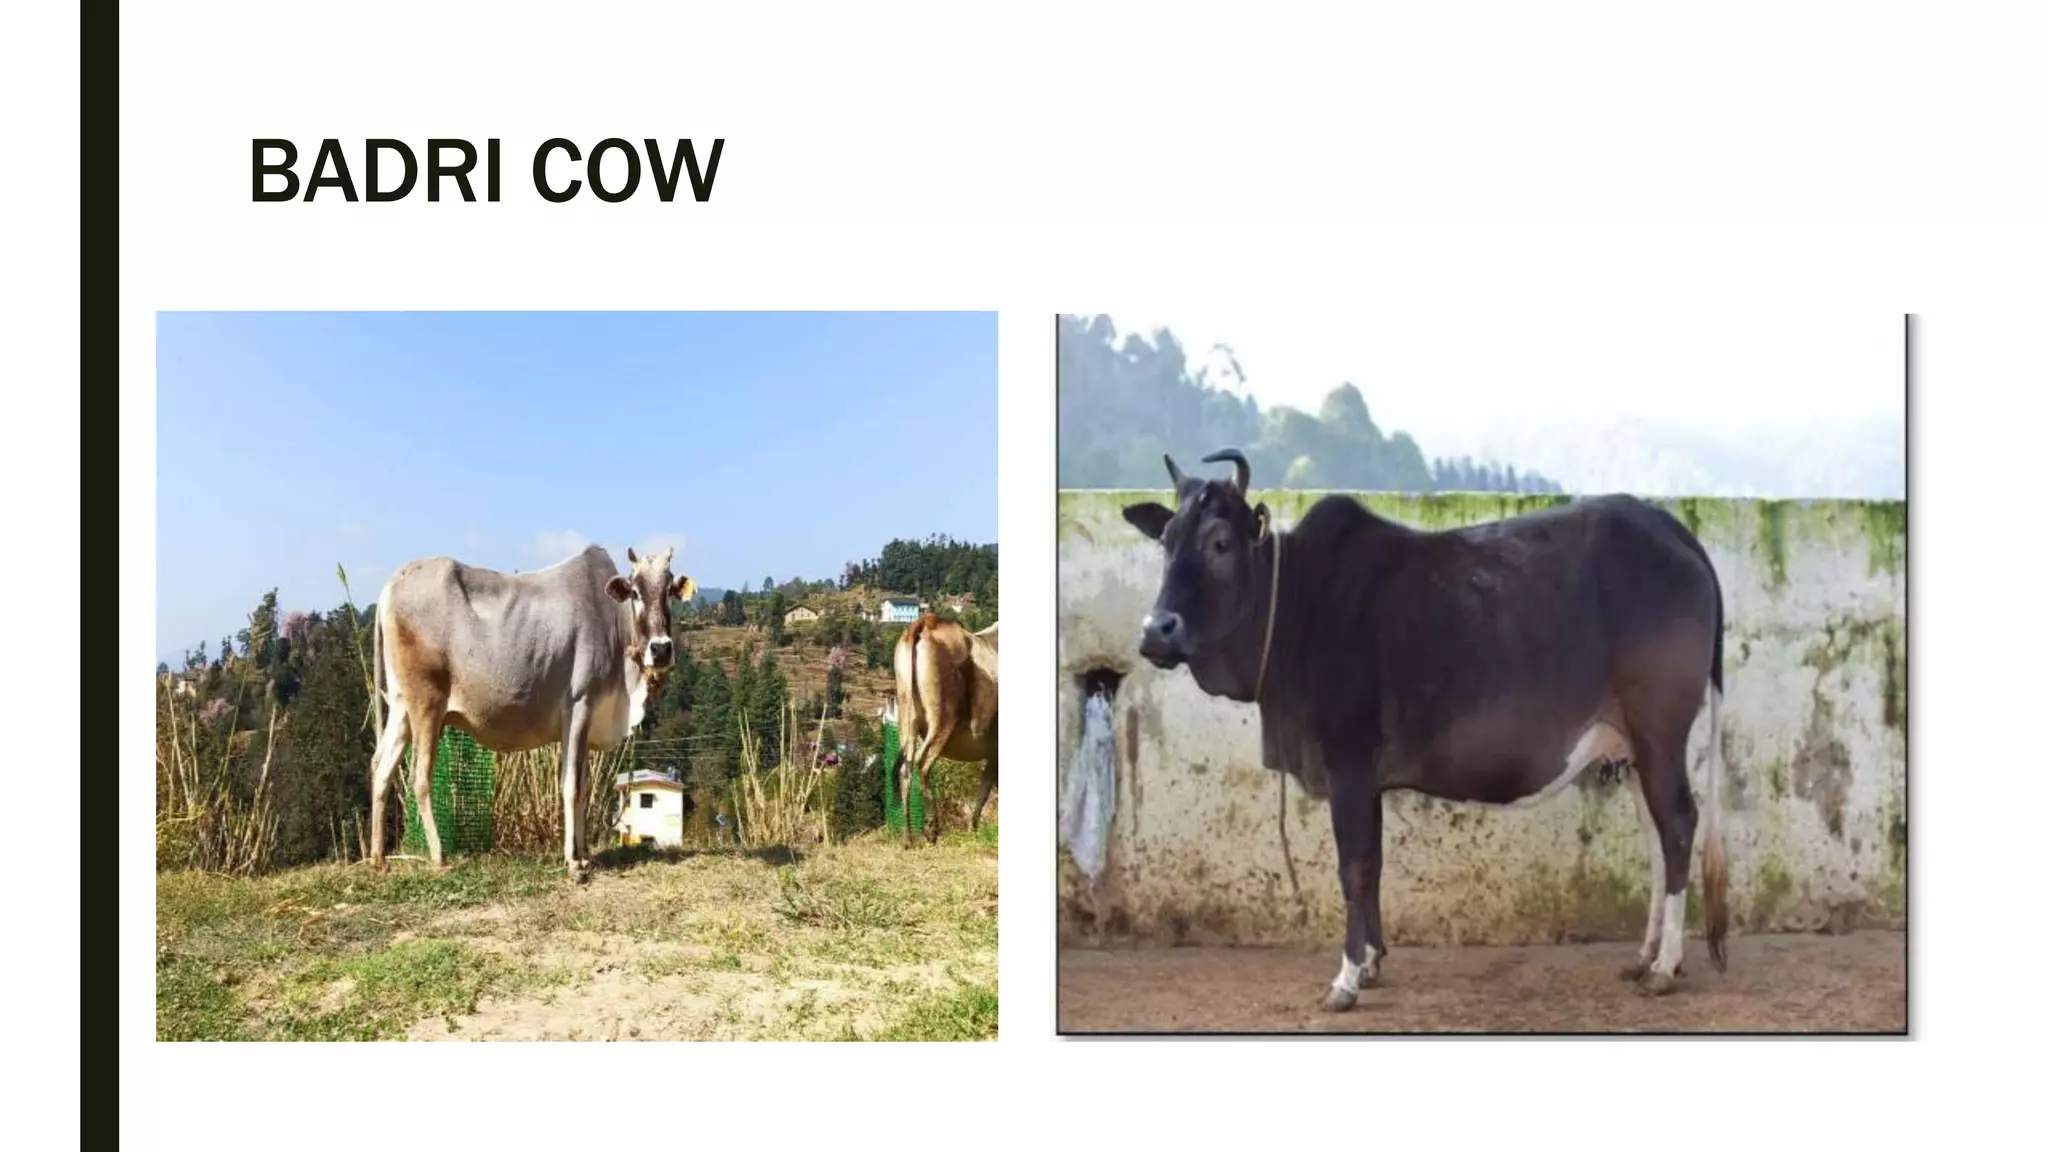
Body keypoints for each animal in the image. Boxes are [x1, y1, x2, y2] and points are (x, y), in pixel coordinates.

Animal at [367, 544, 693, 879]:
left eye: (669, 589)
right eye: (635, 592)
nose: (661, 649)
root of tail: (393, 583)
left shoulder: (587, 725)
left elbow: (584, 788)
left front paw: (585, 855)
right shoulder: (579, 707)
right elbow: (571, 787)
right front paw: (572, 862)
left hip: (401, 707)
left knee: (381, 766)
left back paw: (378, 858)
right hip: (427, 705)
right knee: (419, 776)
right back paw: (438, 855)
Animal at [892, 614, 999, 846]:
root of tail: (927, 621)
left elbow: (984, 787)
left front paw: (972, 829)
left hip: (907, 718)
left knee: (906, 768)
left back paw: (908, 838)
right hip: (943, 719)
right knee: (923, 764)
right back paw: (932, 829)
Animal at [1121, 449, 1728, 1009]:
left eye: (1221, 543)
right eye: (1167, 540)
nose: (1156, 630)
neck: (1295, 605)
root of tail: (1669, 527)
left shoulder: (1347, 764)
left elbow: (1354, 868)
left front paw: (1346, 979)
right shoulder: (1367, 780)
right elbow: (1375, 866)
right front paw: (1371, 962)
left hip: (1660, 730)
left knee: (1677, 826)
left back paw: (1665, 967)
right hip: (1629, 747)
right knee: (1655, 837)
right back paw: (1646, 955)